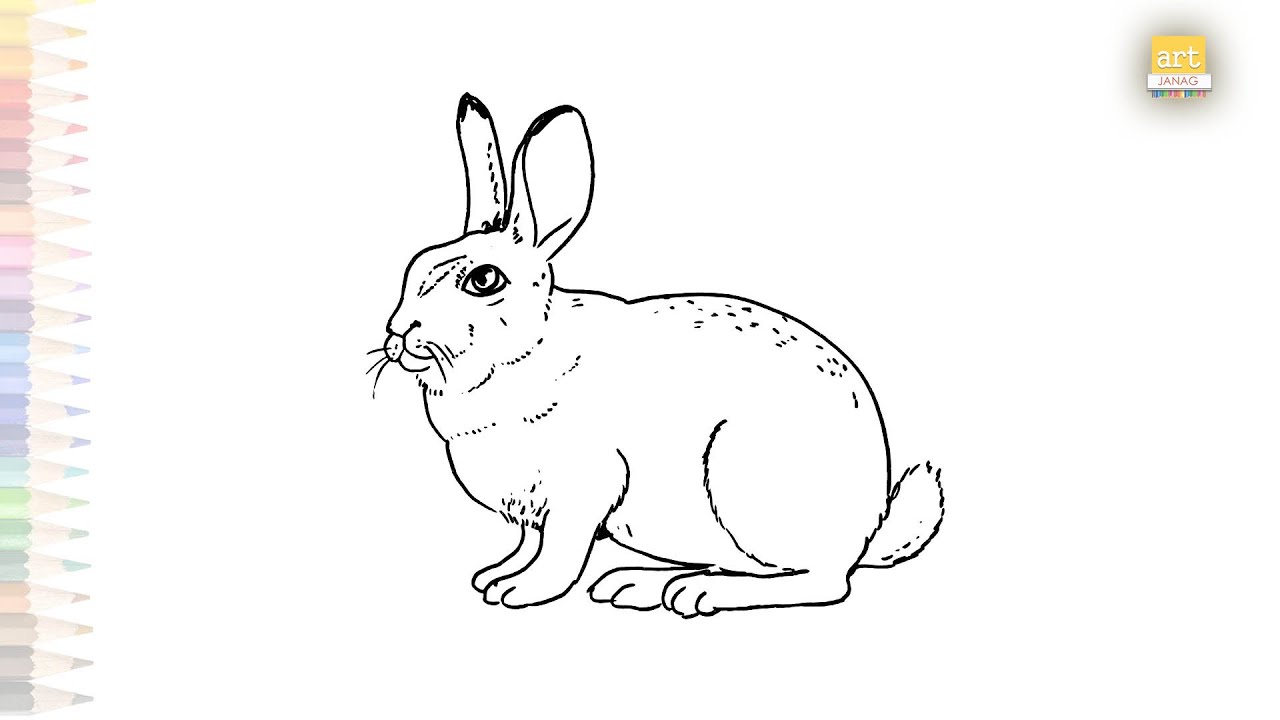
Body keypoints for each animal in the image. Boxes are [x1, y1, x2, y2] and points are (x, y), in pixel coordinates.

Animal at [378, 94, 944, 617]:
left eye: (483, 280)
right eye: (417, 266)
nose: (398, 333)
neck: (524, 352)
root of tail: (865, 529)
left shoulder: (583, 487)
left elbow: (559, 554)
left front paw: (521, 592)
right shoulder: (530, 505)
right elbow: (527, 544)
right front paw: (494, 576)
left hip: (745, 483)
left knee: (820, 582)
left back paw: (697, 593)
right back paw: (639, 584)